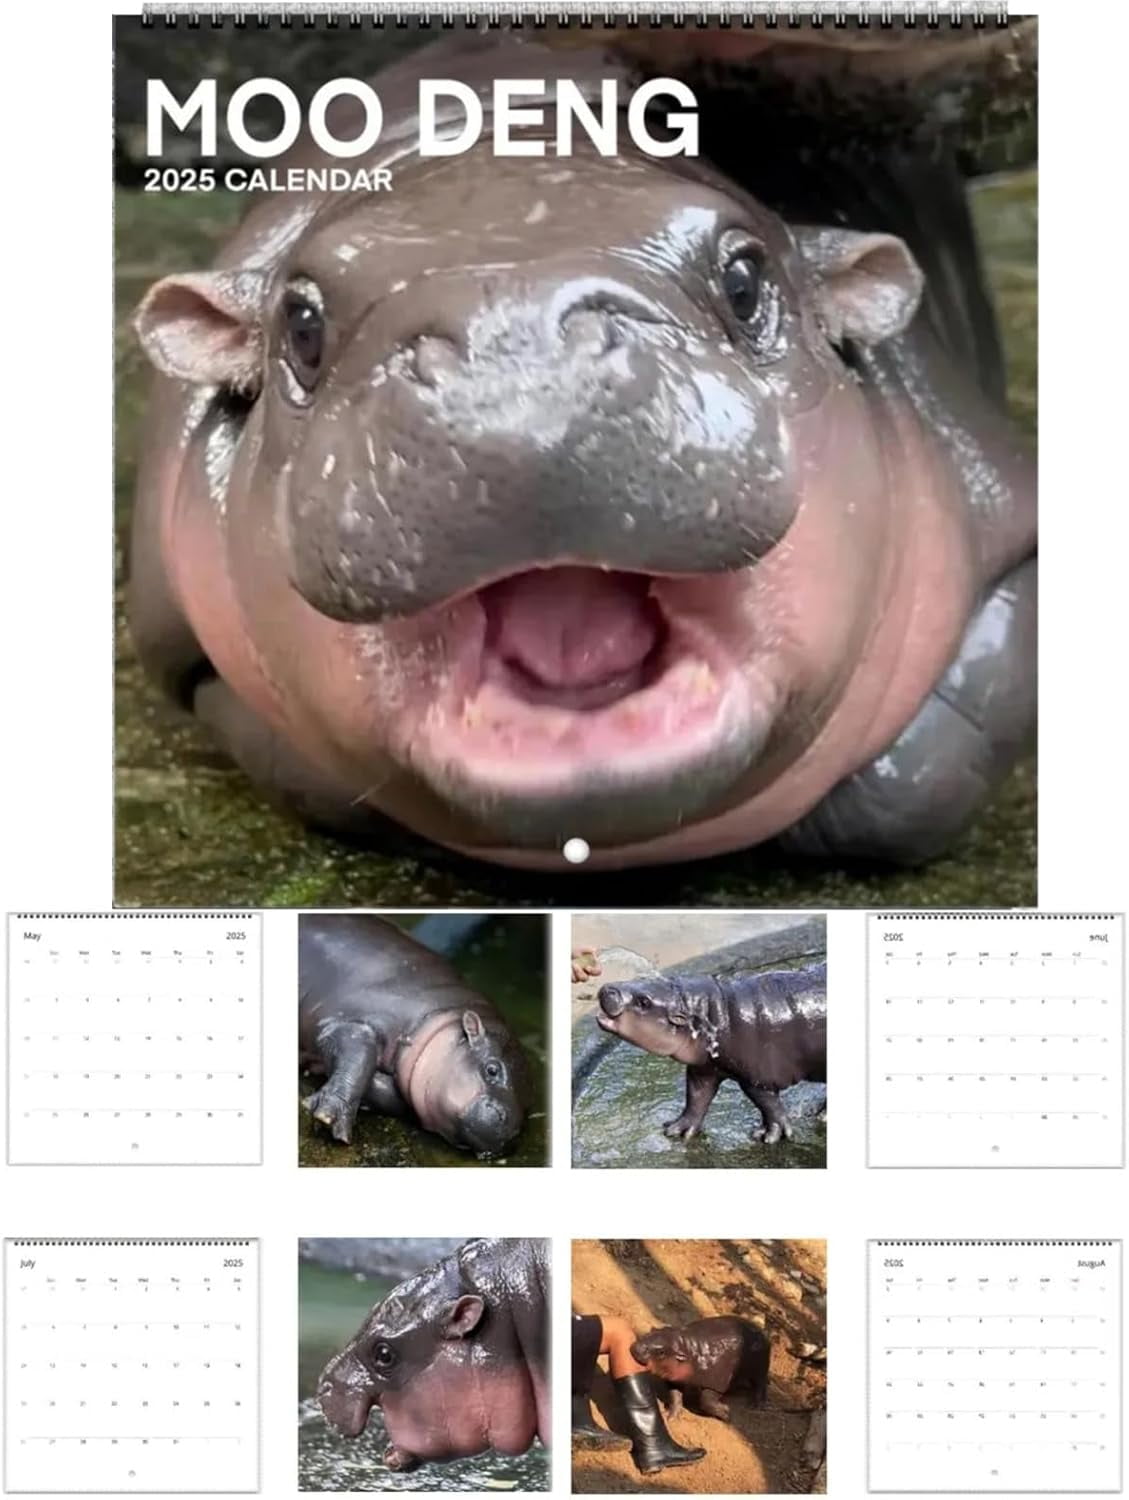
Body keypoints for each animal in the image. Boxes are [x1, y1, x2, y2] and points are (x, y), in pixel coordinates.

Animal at [299, 914, 527, 1155]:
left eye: (529, 1100)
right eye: (492, 1069)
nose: (509, 1132)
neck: (444, 1016)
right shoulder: (355, 1023)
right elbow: (358, 1060)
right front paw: (327, 1115)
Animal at [596, 963, 826, 1144]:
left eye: (644, 1001)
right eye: (642, 978)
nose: (607, 988)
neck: (713, 1012)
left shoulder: (758, 1078)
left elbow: (769, 1106)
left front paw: (767, 1136)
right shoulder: (705, 1068)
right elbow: (696, 1098)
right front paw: (677, 1130)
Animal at [631, 1317, 771, 1421]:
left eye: (661, 1352)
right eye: (650, 1331)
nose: (637, 1347)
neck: (686, 1348)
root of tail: (762, 1333)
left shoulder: (717, 1383)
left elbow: (706, 1401)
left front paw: (726, 1414)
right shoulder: (675, 1378)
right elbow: (675, 1395)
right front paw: (669, 1416)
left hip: (759, 1368)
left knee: (761, 1384)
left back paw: (756, 1406)